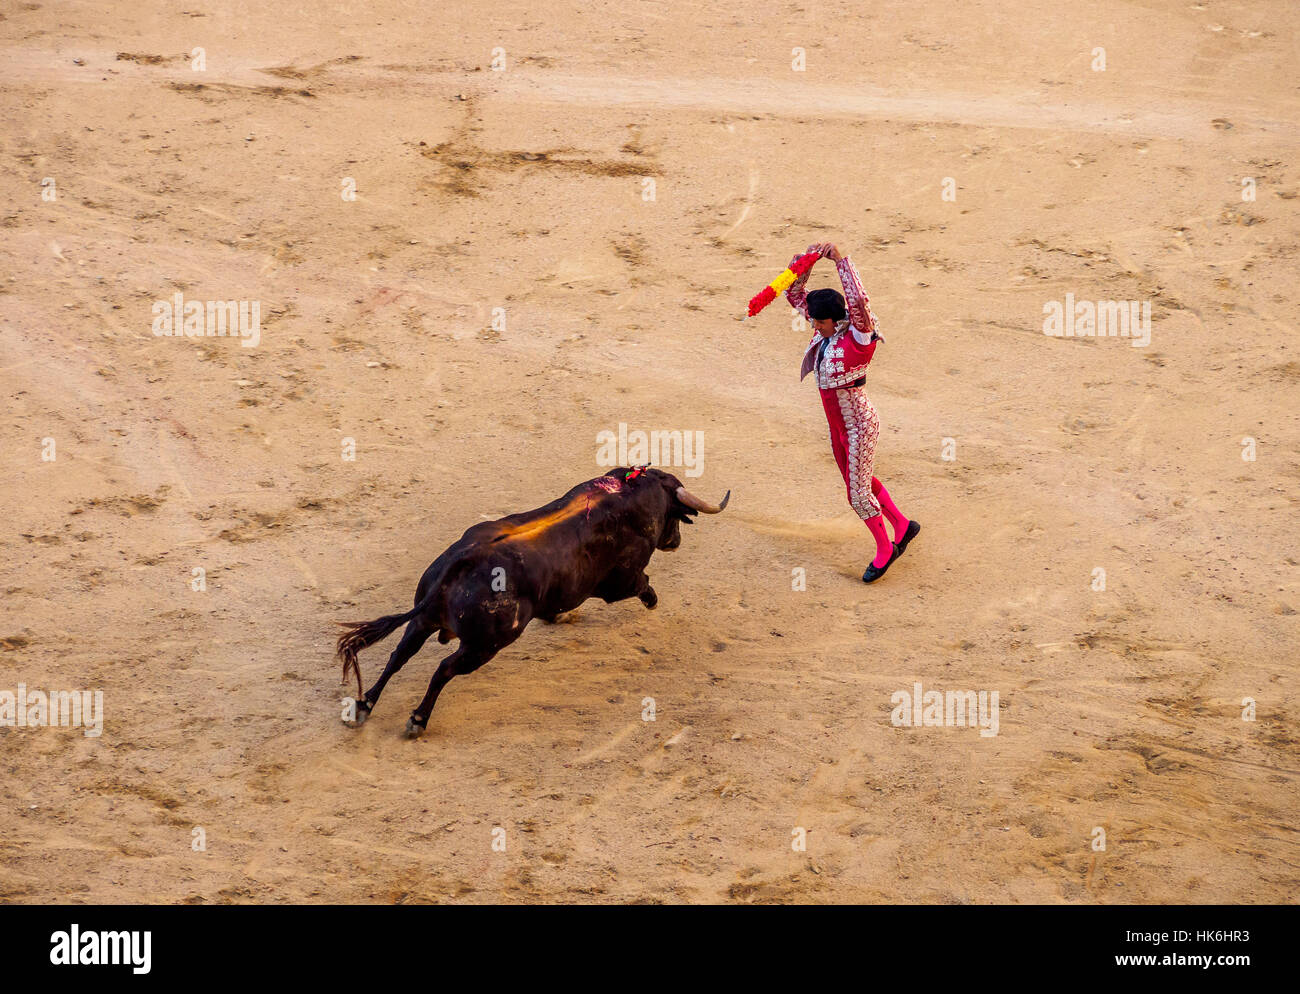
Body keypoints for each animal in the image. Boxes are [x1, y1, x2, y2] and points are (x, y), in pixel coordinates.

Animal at [335, 466, 729, 737]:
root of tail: (465, 560)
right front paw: (652, 600)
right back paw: (417, 719)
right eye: (674, 516)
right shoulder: (622, 580)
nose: (675, 542)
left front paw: (560, 618)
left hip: (424, 619)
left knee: (399, 655)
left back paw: (364, 706)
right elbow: (642, 584)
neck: (634, 492)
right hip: (484, 645)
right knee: (444, 669)